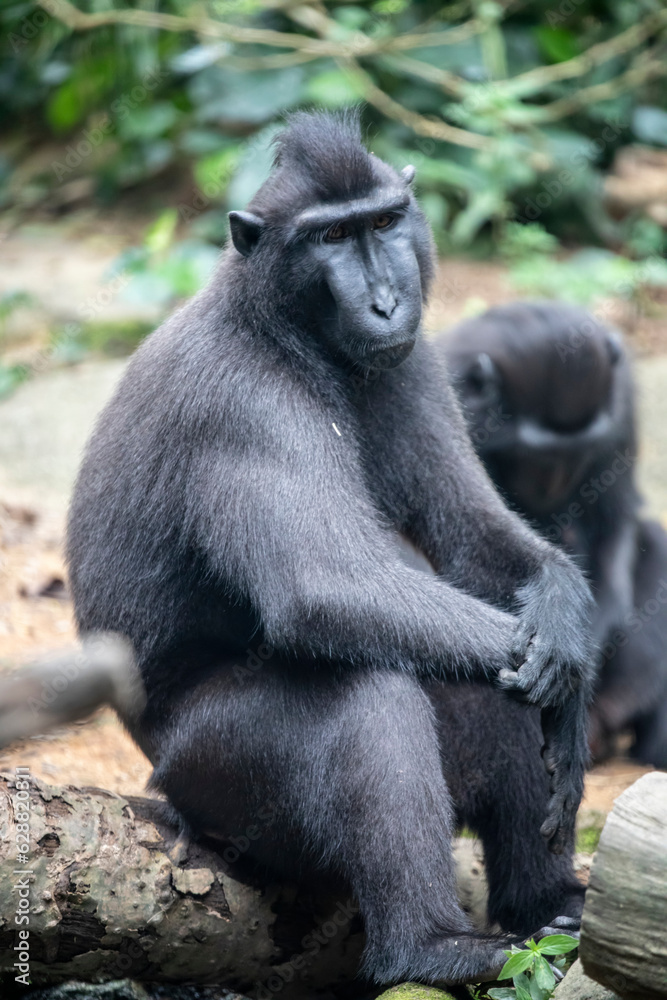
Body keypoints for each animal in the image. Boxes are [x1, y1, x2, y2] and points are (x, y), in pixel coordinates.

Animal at [66, 112, 594, 986]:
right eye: (332, 237)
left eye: (383, 222)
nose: (385, 302)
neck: (282, 329)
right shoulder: (243, 404)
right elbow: (323, 588)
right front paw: (579, 688)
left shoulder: (417, 364)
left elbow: (476, 539)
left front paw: (569, 639)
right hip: (205, 774)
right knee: (366, 690)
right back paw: (429, 947)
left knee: (502, 681)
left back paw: (545, 910)